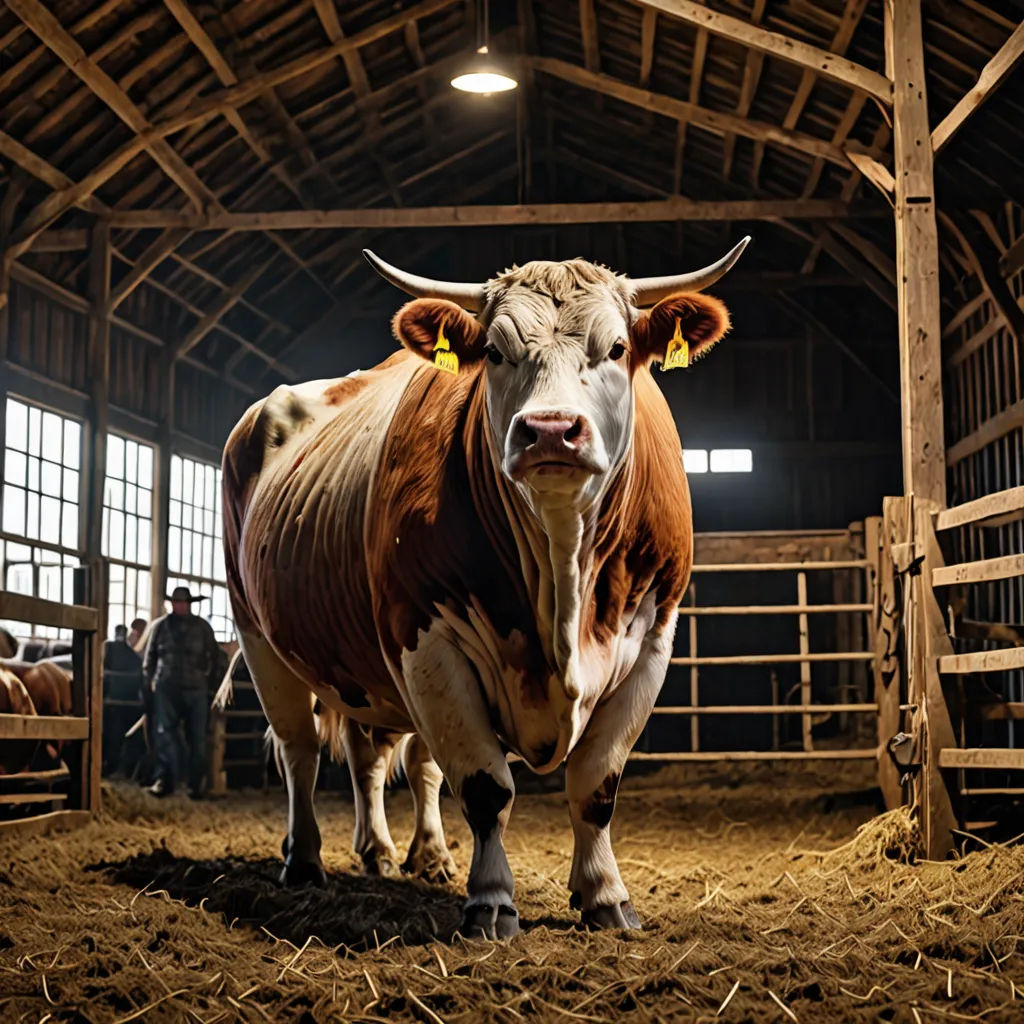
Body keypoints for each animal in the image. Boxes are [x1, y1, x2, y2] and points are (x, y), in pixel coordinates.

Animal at [222, 240, 748, 937]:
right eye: (495, 353)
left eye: (616, 348)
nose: (551, 429)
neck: (562, 573)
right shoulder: (425, 638)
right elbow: (484, 786)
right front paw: (493, 900)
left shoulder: (652, 641)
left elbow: (595, 785)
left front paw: (605, 896)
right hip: (260, 636)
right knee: (300, 752)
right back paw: (305, 861)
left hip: (365, 668)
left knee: (380, 759)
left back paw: (404, 854)